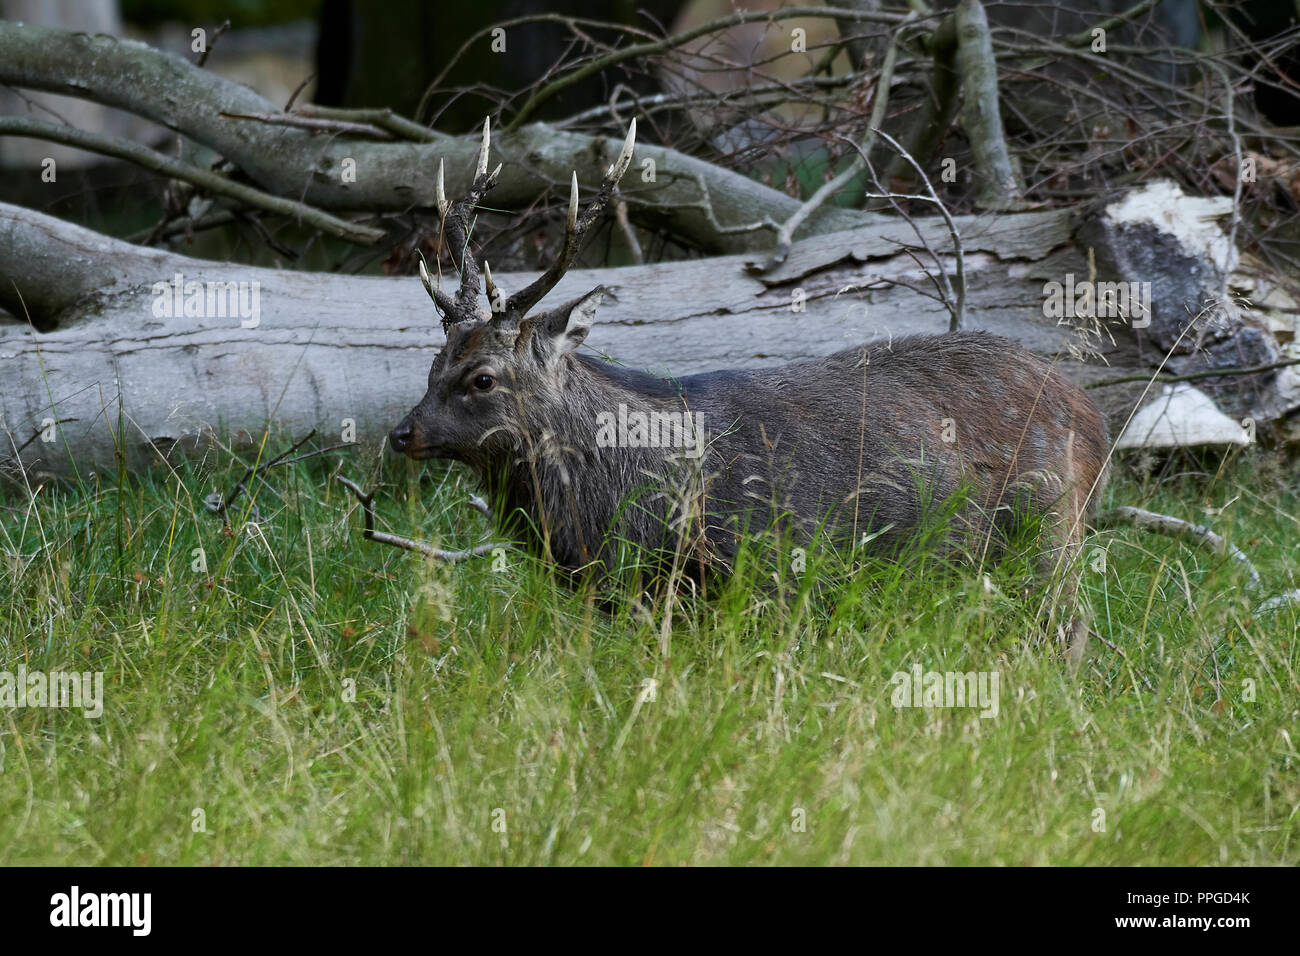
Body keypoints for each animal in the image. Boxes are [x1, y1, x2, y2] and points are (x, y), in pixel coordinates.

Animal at [385, 118, 1111, 661]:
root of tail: (1093, 416)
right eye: (432, 364)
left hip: (1049, 527)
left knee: (1068, 628)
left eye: (482, 378)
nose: (402, 432)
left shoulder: (769, 570)